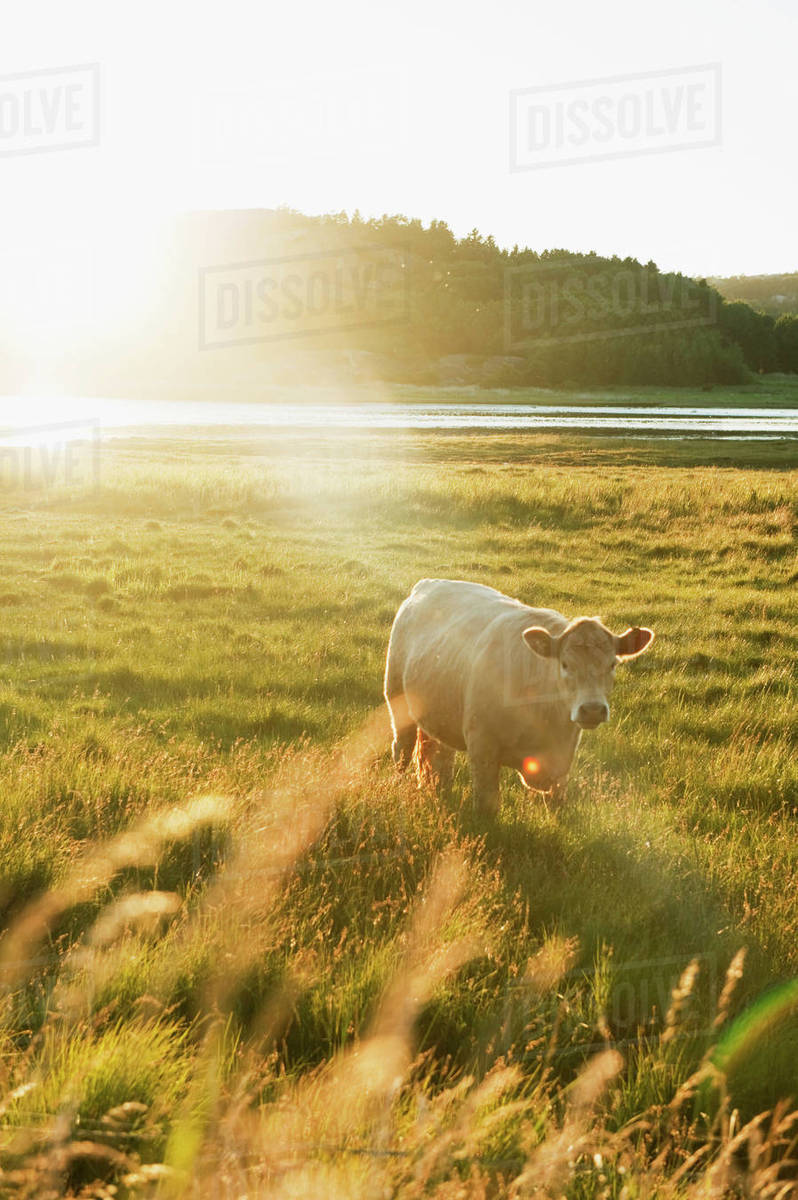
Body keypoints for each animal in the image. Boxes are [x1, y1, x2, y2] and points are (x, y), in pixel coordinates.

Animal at [384, 579, 653, 814]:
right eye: (565, 664)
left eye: (612, 664)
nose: (593, 709)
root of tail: (430, 583)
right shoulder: (482, 747)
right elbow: (487, 806)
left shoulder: (563, 759)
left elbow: (557, 805)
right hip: (397, 700)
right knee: (402, 751)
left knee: (439, 756)